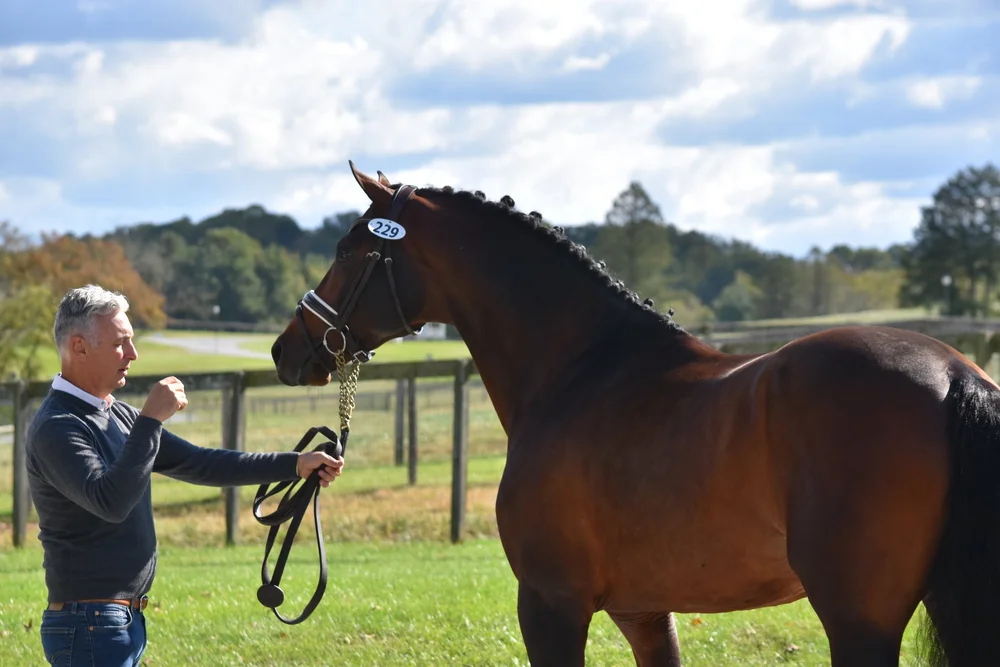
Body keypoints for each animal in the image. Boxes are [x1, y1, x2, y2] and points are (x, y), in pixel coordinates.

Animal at [269, 161, 1000, 667]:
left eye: (349, 250)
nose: (286, 349)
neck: (582, 370)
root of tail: (955, 376)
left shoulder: (551, 603)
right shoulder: (645, 610)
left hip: (859, 621)